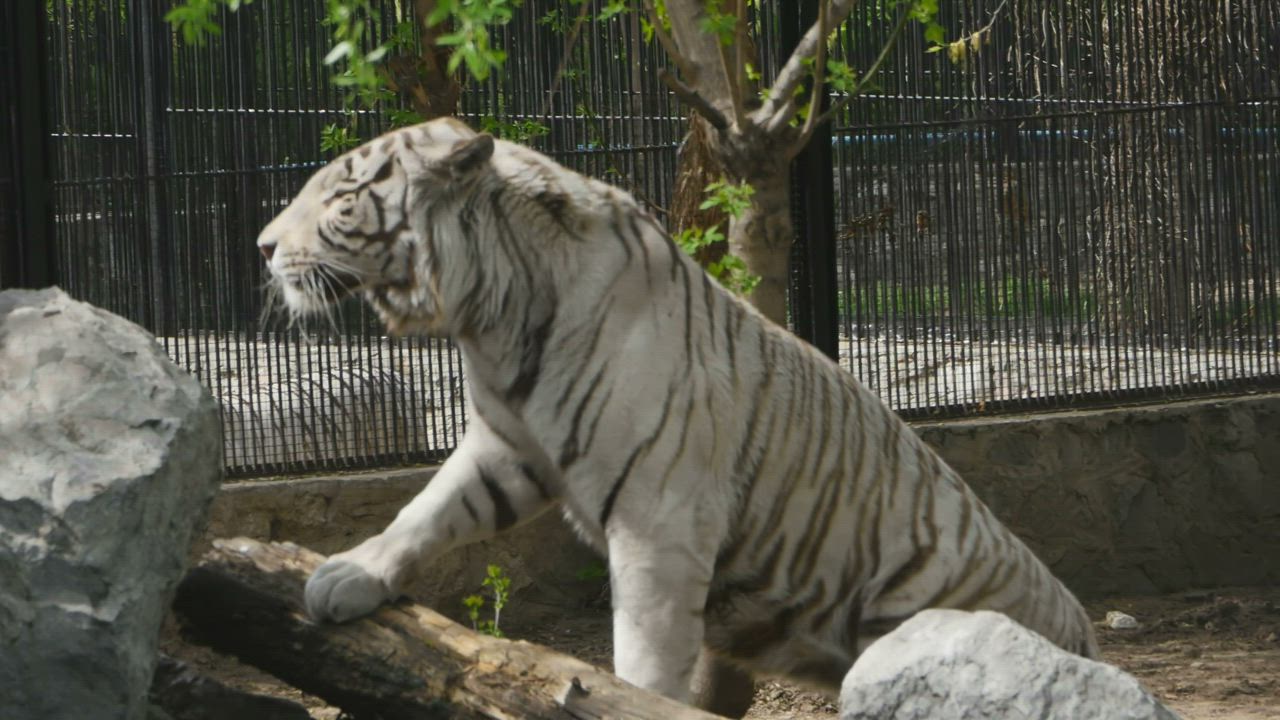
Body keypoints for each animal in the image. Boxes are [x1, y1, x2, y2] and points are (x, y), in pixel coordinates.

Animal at [257, 117, 1099, 716]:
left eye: (338, 198)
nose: (263, 245)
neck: (489, 320)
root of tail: (1087, 633)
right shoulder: (507, 448)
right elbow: (427, 510)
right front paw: (349, 574)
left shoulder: (658, 518)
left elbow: (643, 652)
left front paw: (626, 703)